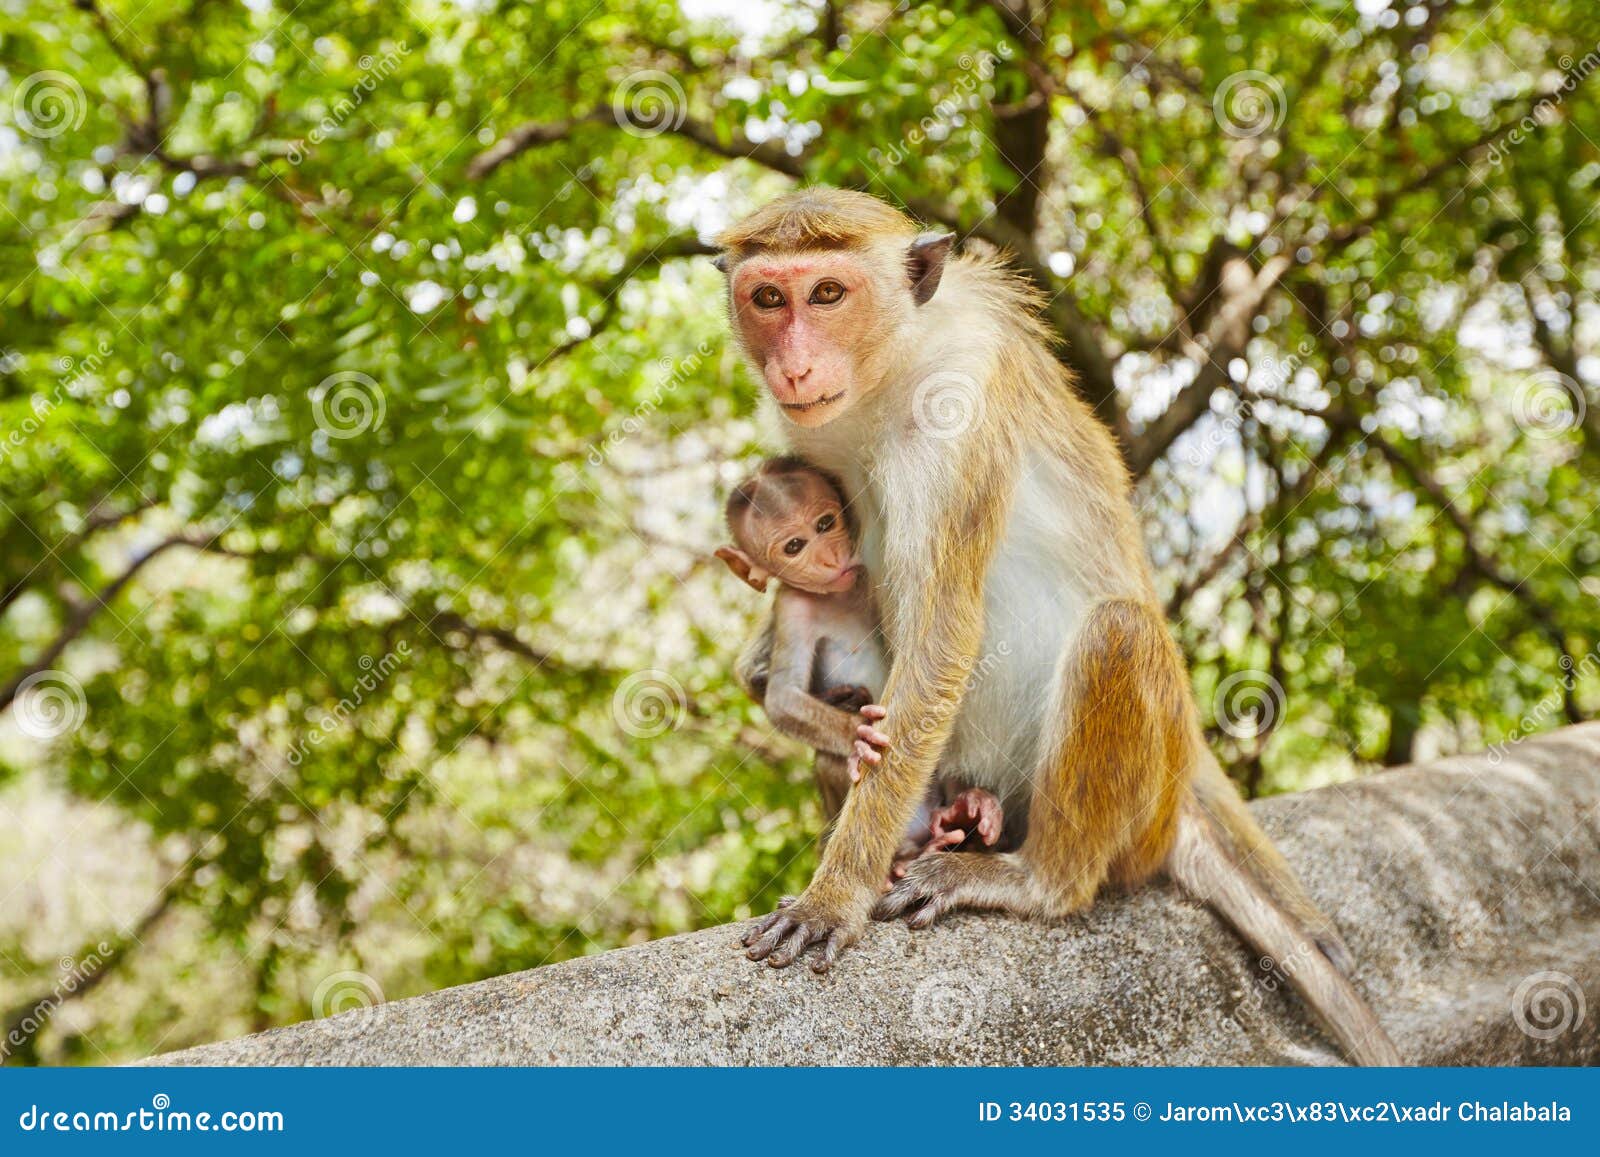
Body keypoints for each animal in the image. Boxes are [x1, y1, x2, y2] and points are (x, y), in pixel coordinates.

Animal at [716, 456, 1006, 876]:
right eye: (794, 546)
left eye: (825, 524)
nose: (831, 558)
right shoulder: (791, 606)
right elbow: (782, 697)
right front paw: (858, 733)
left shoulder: (868, 574)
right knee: (829, 759)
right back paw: (911, 853)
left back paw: (969, 811)